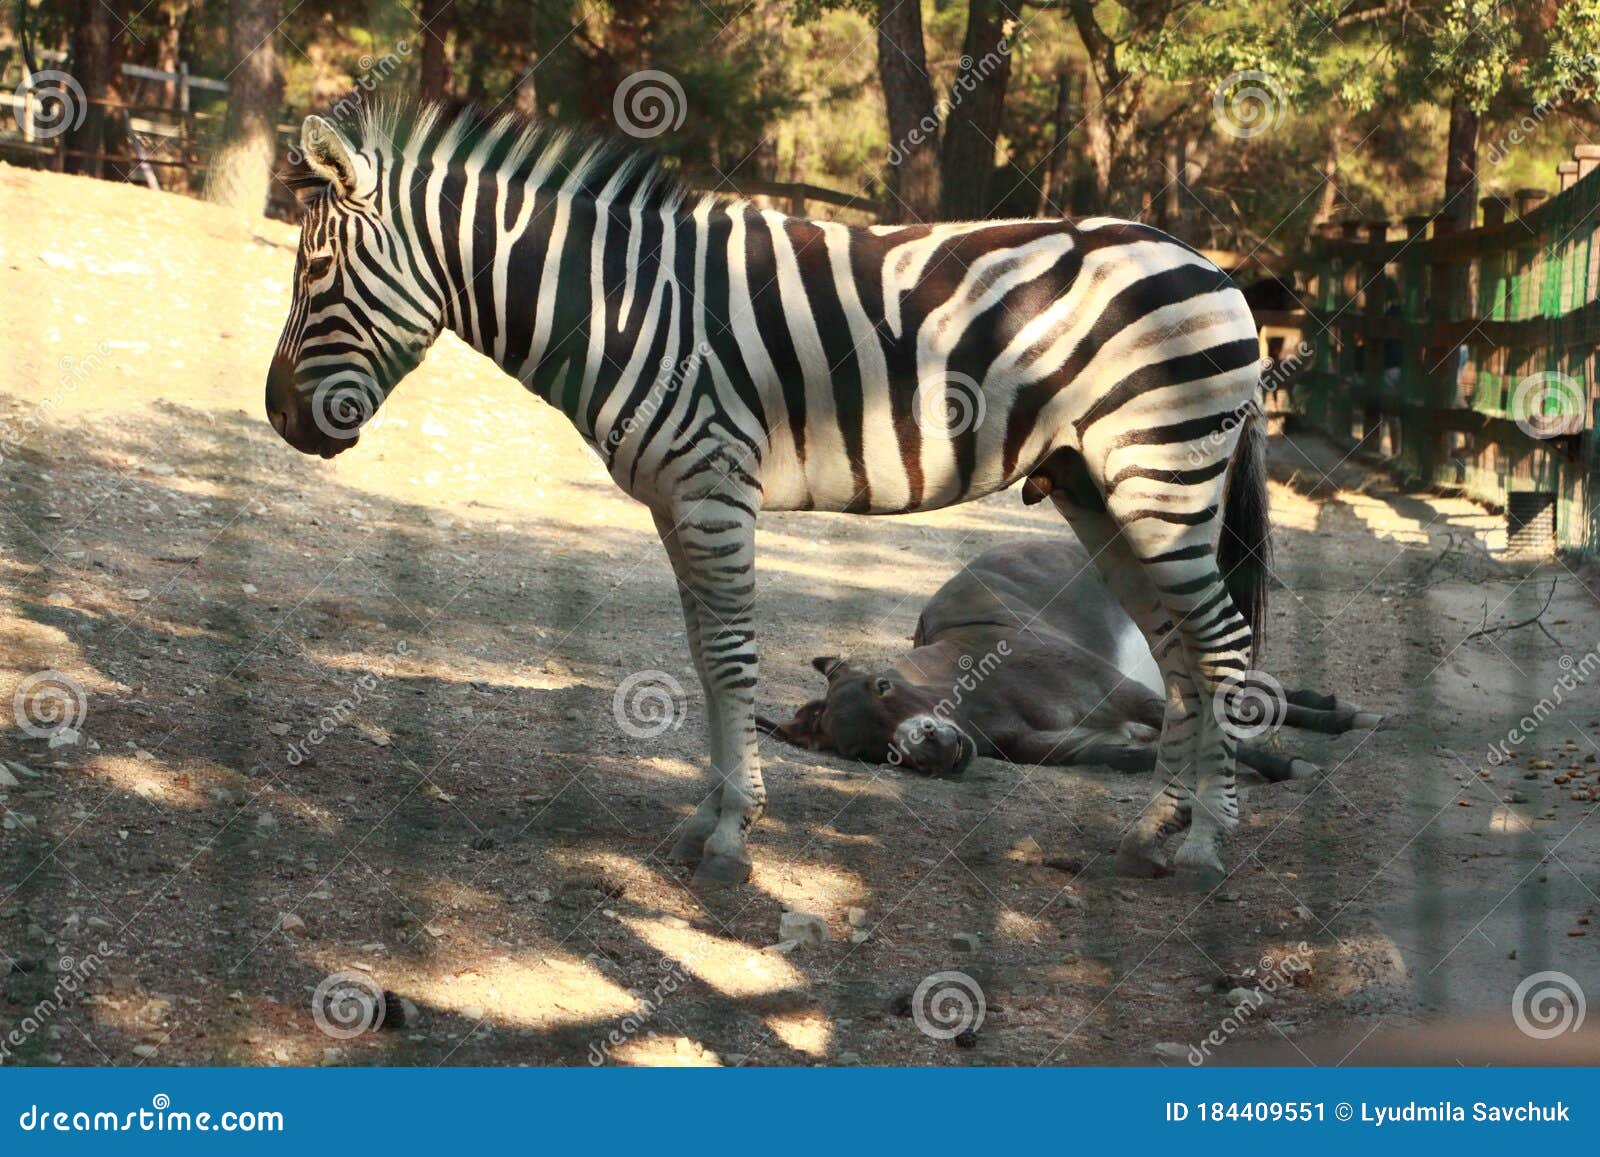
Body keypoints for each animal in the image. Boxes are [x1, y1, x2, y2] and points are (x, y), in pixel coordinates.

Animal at [265, 102, 1272, 886]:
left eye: (313, 273)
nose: (278, 416)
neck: (626, 308)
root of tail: (1210, 267)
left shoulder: (715, 488)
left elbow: (733, 657)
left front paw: (731, 834)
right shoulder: (676, 499)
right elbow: (705, 658)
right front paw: (706, 815)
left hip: (1163, 475)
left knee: (1221, 645)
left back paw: (1205, 849)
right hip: (1098, 490)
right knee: (1178, 651)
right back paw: (1151, 832)